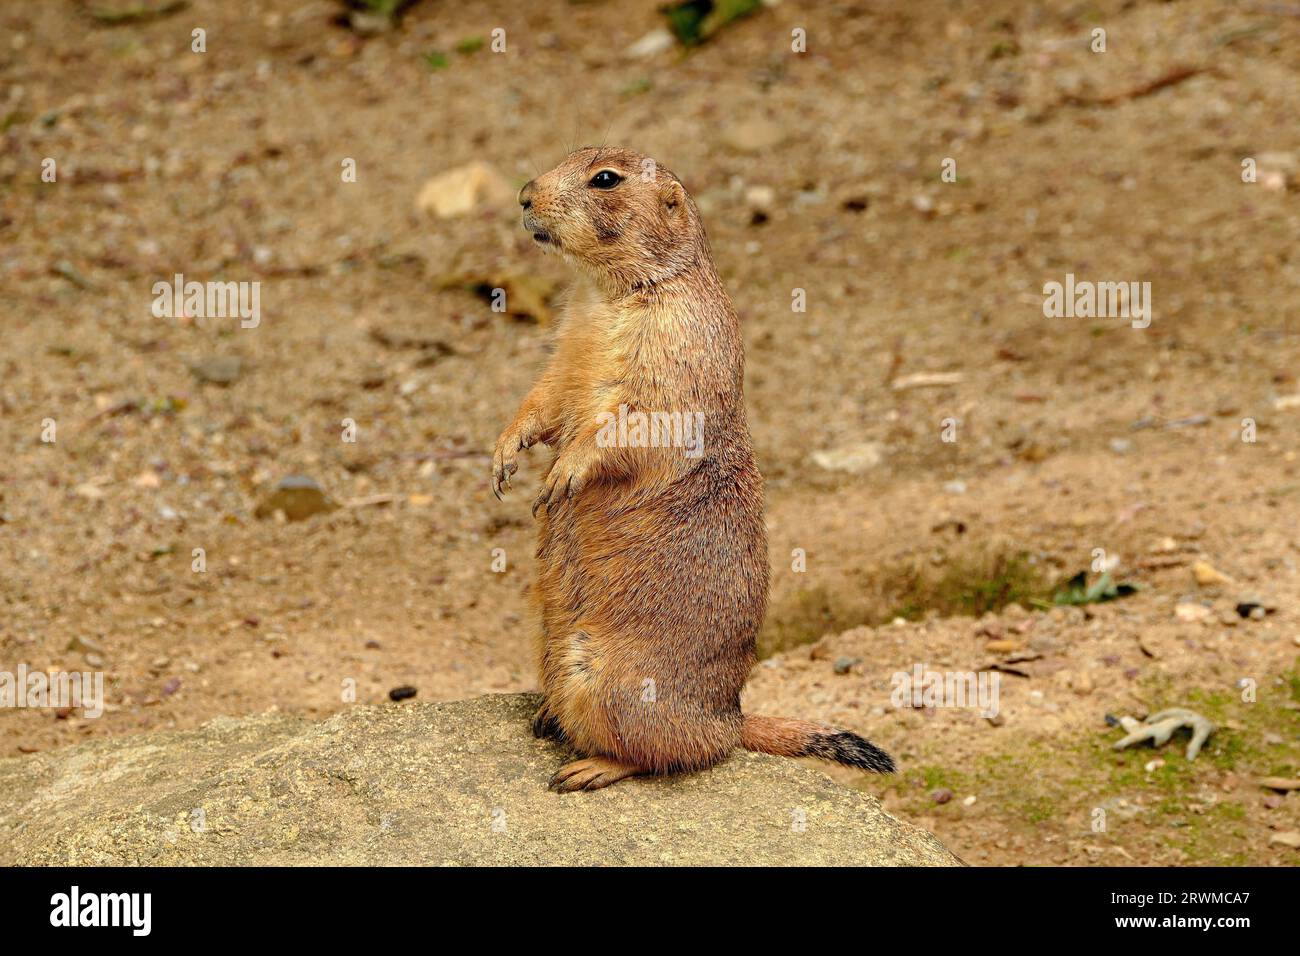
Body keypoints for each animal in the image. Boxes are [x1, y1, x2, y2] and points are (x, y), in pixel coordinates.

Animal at [492, 146, 895, 791]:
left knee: (676, 752)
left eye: (605, 179)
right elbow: (545, 397)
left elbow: (635, 419)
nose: (524, 195)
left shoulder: (675, 343)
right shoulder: (568, 345)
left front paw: (563, 474)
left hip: (607, 679)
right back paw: (546, 718)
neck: (608, 294)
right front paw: (505, 454)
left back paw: (587, 766)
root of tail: (731, 716)